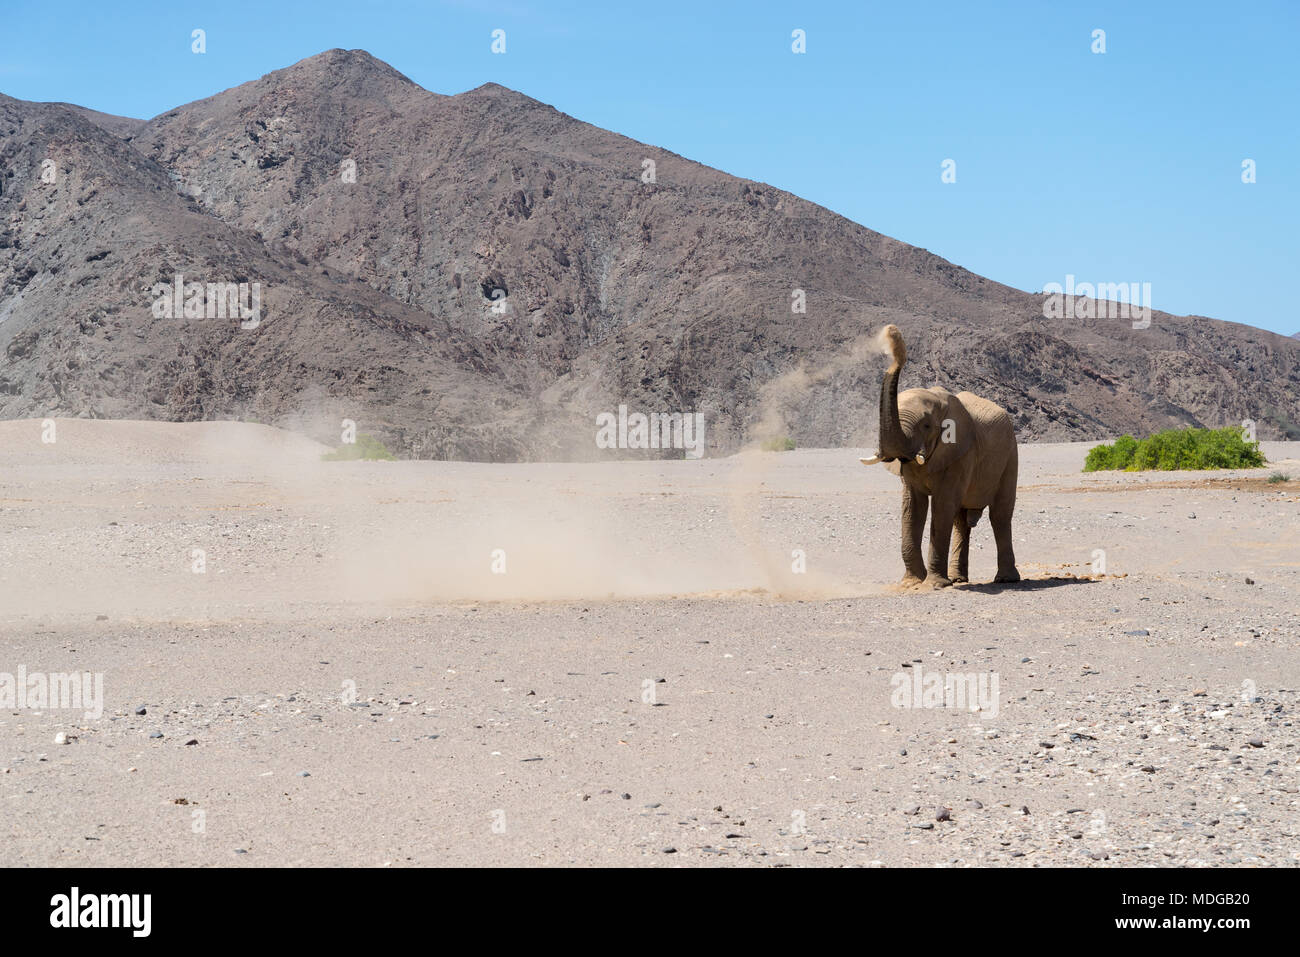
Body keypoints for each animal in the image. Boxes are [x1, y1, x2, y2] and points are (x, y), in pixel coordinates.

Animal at [860, 325, 1020, 589]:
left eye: (926, 425)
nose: (893, 334)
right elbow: (912, 507)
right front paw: (912, 583)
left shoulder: (961, 453)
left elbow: (942, 506)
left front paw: (935, 585)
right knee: (961, 520)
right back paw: (958, 579)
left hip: (1010, 455)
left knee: (1000, 515)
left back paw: (1006, 580)